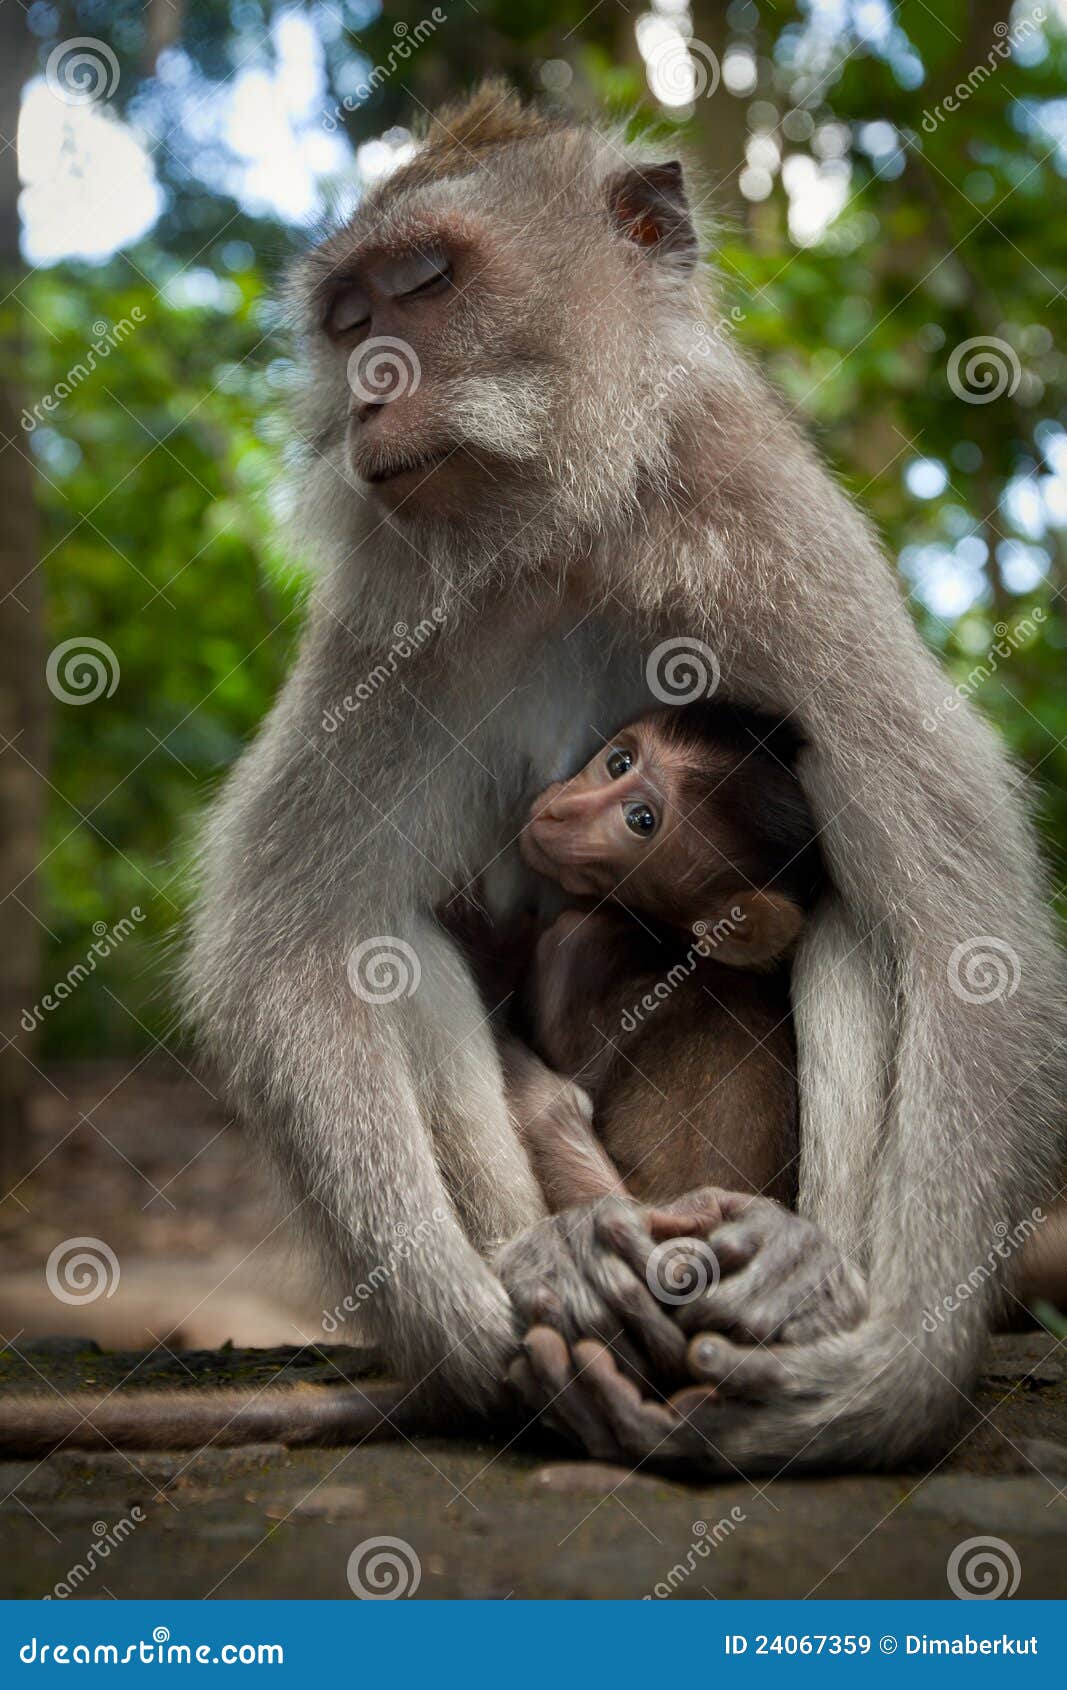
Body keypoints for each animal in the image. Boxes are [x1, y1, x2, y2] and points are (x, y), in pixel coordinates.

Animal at [7, 85, 1063, 1469]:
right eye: (349, 320)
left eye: (427, 283)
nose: (369, 387)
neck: (566, 530)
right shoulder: (388, 629)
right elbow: (288, 946)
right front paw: (466, 1314)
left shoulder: (777, 542)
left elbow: (962, 930)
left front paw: (888, 1374)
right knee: (382, 941)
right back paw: (552, 1304)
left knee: (857, 918)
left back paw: (798, 1277)